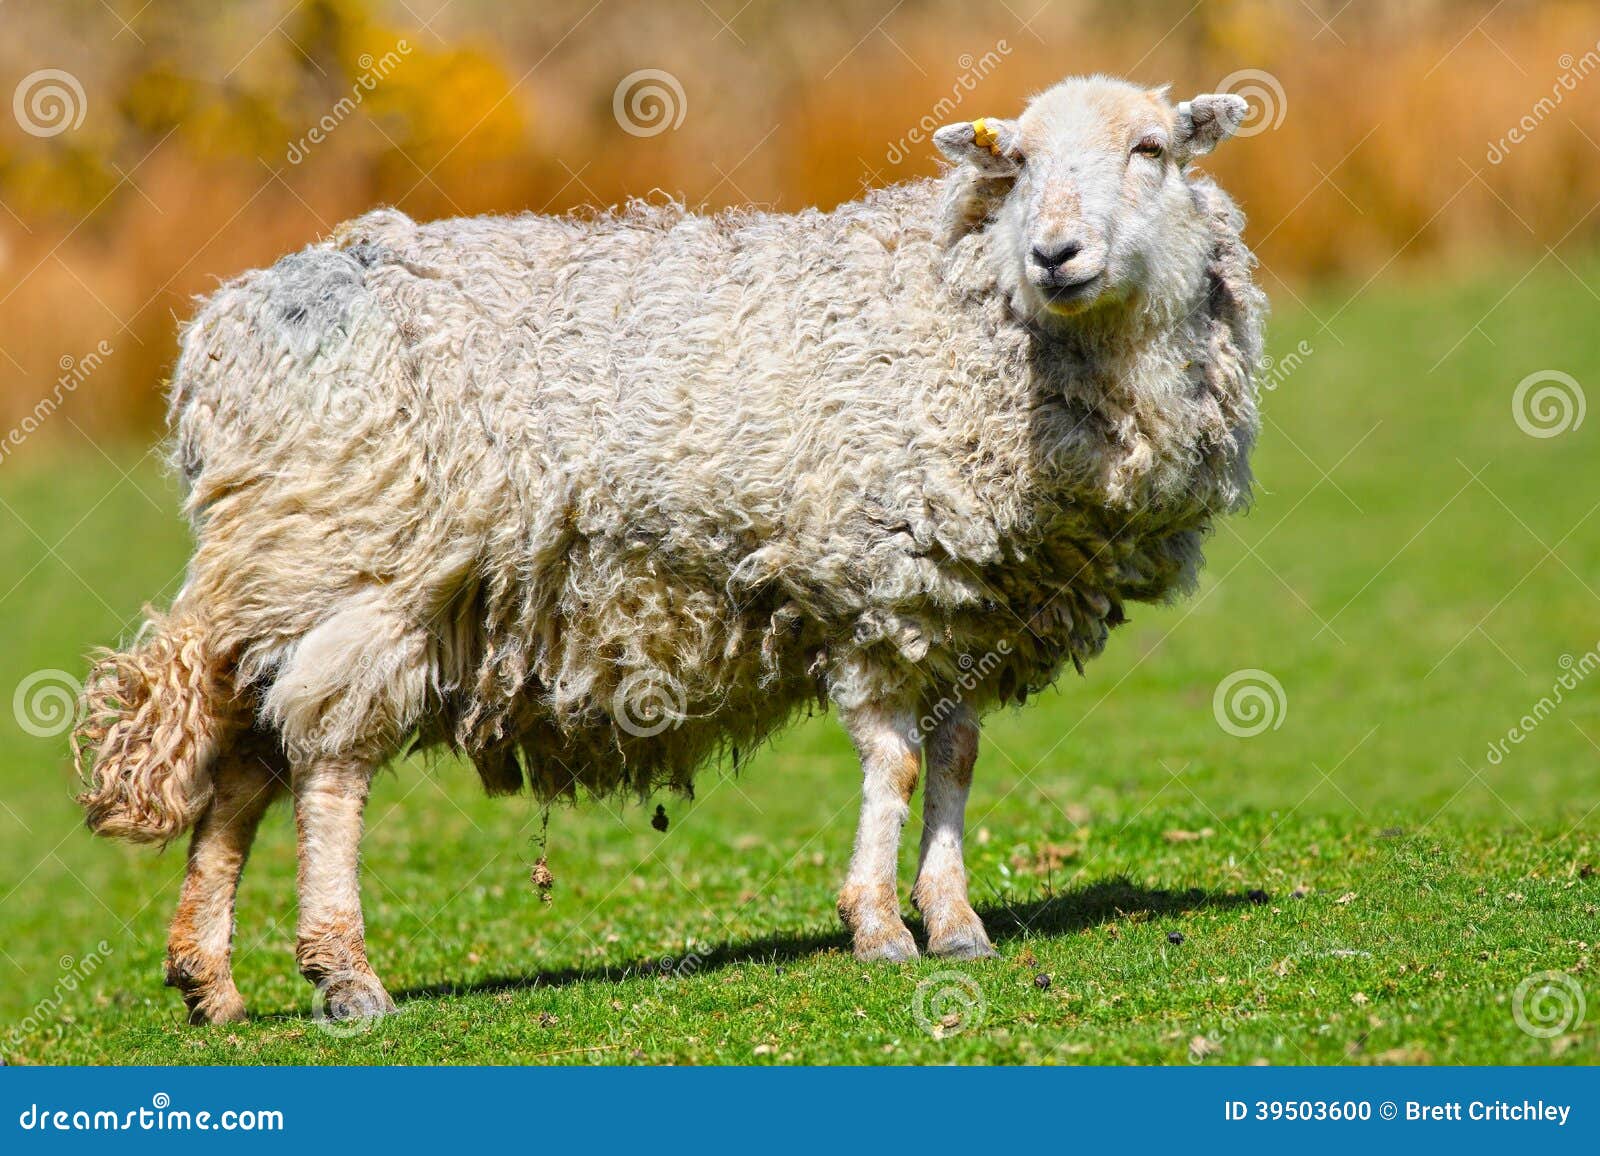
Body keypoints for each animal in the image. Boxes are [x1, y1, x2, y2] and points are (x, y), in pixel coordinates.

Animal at [73, 74, 1264, 1024]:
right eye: (1013, 164)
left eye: (1151, 149)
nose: (1055, 253)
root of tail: (219, 336)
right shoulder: (872, 582)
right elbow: (893, 761)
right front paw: (880, 926)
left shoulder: (969, 603)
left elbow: (956, 759)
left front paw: (956, 918)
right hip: (360, 562)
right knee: (325, 769)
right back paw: (345, 973)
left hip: (288, 573)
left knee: (243, 764)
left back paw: (210, 980)